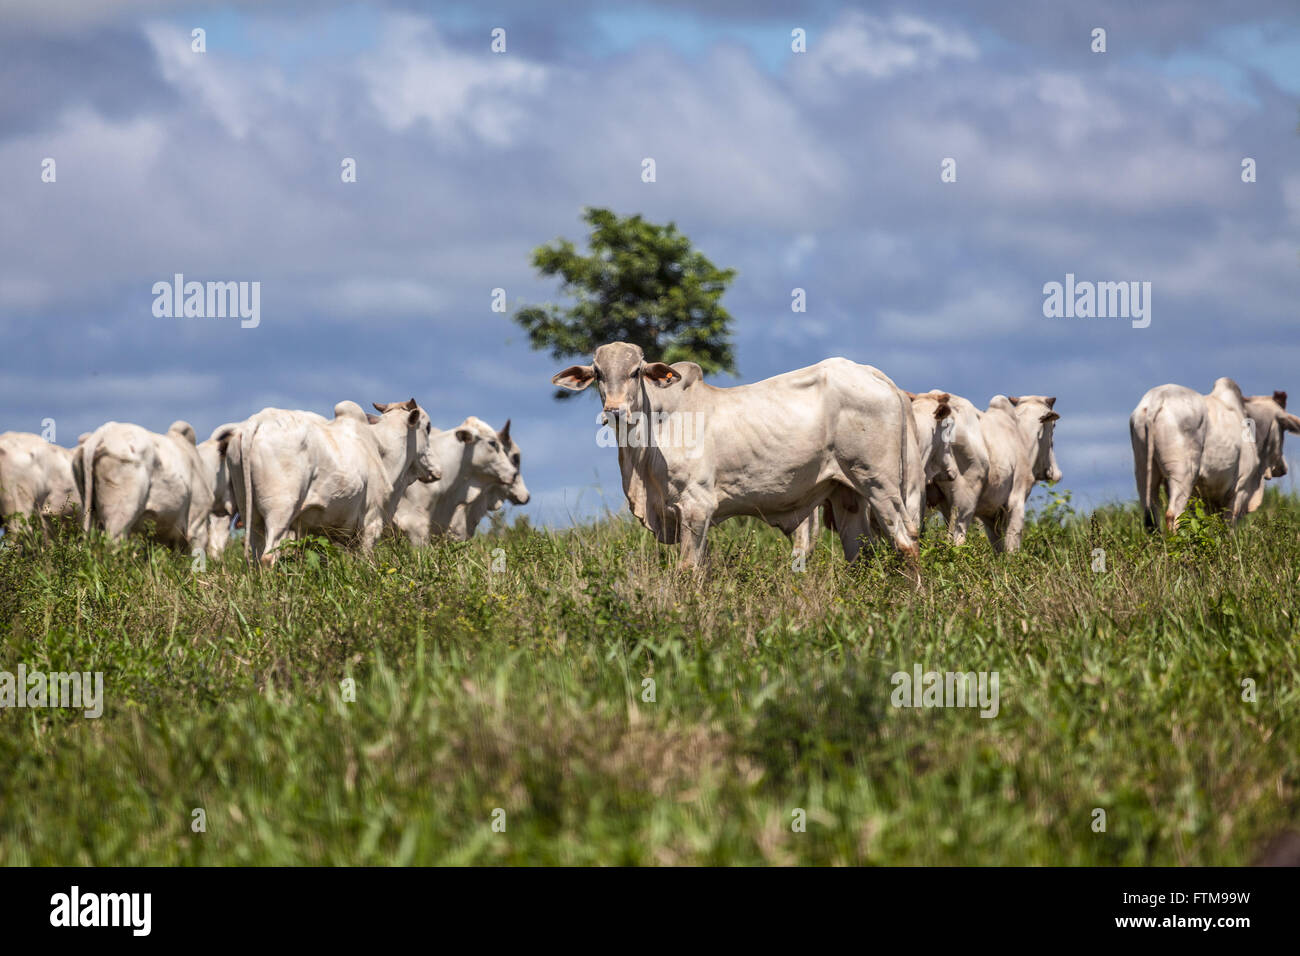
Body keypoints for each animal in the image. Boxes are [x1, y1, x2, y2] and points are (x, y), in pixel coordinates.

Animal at [228, 399, 439, 564]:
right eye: (427, 427)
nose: (436, 469)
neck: (381, 450)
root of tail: (258, 421)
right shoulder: (371, 523)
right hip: (280, 511)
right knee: (268, 557)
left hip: (251, 514)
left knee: (256, 557)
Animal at [551, 342, 923, 572]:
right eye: (599, 373)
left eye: (635, 372)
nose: (614, 411)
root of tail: (875, 375)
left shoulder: (697, 506)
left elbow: (687, 569)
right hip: (846, 492)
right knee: (860, 553)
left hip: (879, 483)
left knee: (906, 543)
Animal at [926, 393, 1061, 553]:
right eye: (1054, 425)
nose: (1055, 473)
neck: (1022, 436)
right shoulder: (1016, 501)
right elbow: (1012, 546)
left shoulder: (989, 515)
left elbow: (998, 547)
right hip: (964, 503)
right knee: (955, 541)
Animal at [1130, 378, 1298, 530]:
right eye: (1283, 428)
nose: (1282, 467)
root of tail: (1156, 400)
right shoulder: (1240, 488)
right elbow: (1228, 528)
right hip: (1183, 474)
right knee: (1173, 515)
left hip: (1144, 471)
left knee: (1151, 517)